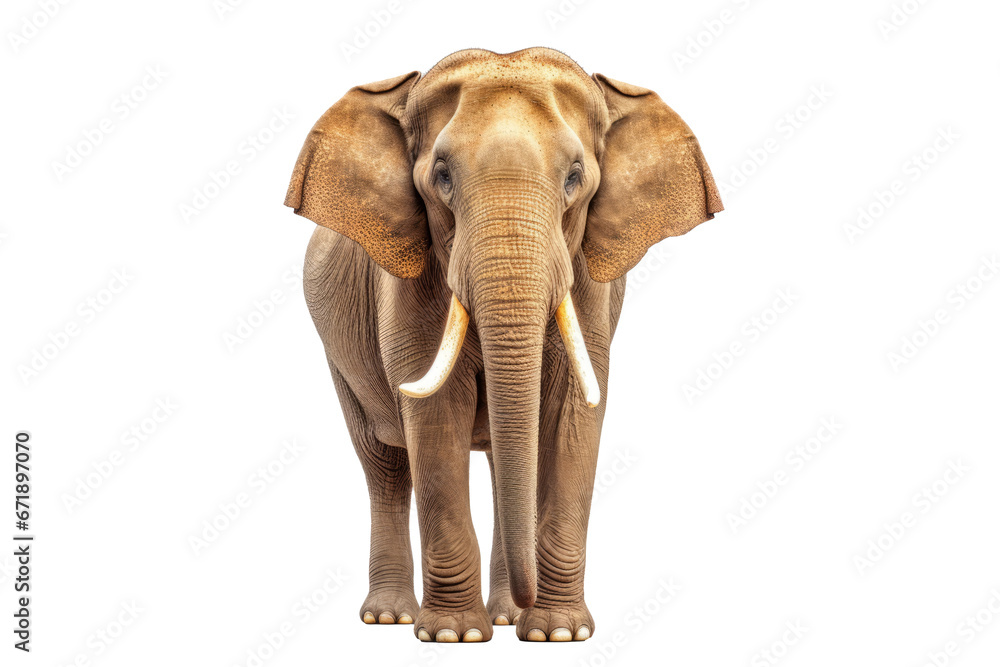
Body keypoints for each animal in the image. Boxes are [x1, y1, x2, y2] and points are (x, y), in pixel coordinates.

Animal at [283, 47, 722, 643]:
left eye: (575, 177)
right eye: (442, 177)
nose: (527, 598)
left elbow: (571, 416)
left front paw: (554, 633)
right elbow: (434, 416)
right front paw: (455, 635)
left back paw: (504, 616)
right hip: (337, 349)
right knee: (383, 463)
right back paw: (392, 617)